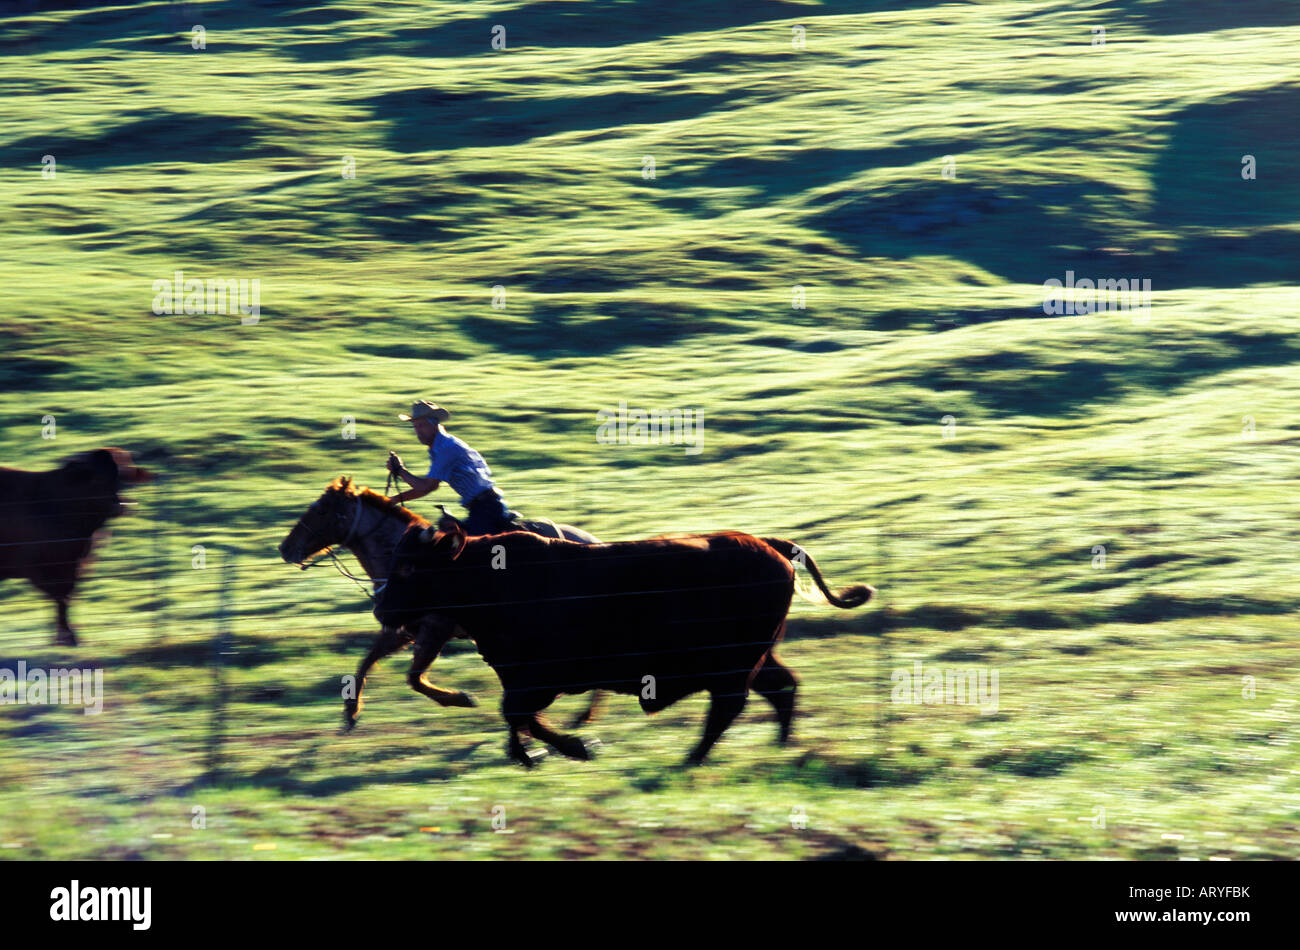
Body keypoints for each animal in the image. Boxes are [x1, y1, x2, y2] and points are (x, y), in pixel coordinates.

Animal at [0, 448, 155, 645]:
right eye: (97, 479)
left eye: (122, 478)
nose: (120, 506)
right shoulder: (41, 567)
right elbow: (61, 597)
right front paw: (66, 635)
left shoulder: (74, 565)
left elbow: (67, 596)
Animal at [374, 520, 873, 767]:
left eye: (410, 568)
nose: (380, 609)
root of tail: (770, 545)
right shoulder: (521, 679)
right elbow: (516, 717)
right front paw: (536, 754)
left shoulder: (540, 680)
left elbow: (517, 714)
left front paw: (572, 748)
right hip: (756, 657)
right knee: (781, 688)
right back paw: (778, 747)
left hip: (732, 666)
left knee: (732, 705)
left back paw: (692, 758)